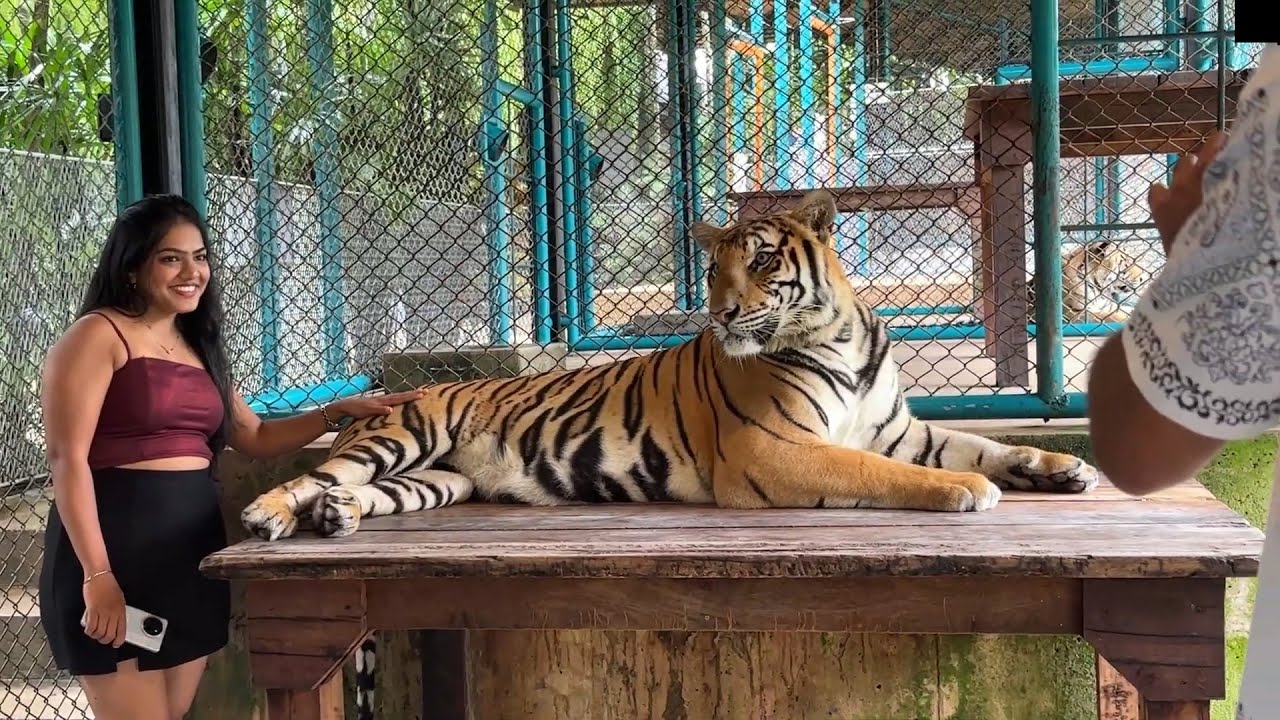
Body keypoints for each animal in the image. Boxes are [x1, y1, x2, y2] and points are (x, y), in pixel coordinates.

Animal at [240, 187, 1099, 545]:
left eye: (761, 261)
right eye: (714, 270)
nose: (720, 314)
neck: (841, 339)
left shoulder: (894, 428)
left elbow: (982, 443)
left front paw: (1058, 467)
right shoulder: (775, 449)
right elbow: (885, 473)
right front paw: (966, 491)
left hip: (437, 480)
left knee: (361, 493)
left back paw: (337, 518)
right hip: (401, 438)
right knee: (314, 475)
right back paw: (272, 515)